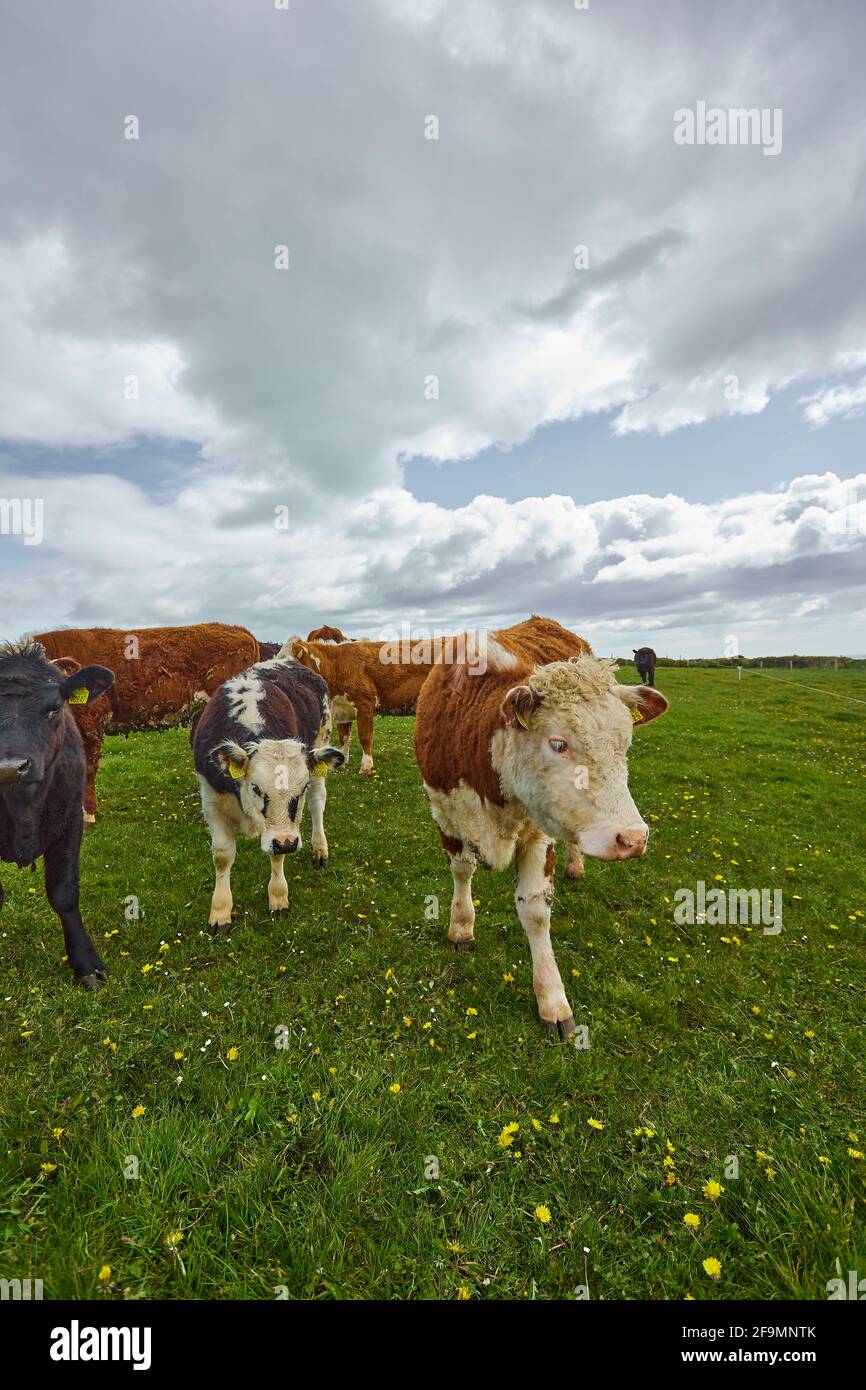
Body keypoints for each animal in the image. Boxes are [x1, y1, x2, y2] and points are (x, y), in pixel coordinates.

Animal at [192, 655, 344, 935]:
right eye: (255, 787)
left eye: (301, 789)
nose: (287, 842)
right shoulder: (211, 800)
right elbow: (222, 855)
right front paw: (220, 911)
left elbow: (277, 854)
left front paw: (278, 897)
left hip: (321, 745)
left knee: (318, 803)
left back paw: (320, 848)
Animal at [414, 631, 668, 1039]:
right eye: (558, 743)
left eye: (625, 743)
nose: (632, 838)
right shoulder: (444, 811)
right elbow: (462, 870)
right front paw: (461, 928)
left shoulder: (537, 833)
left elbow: (534, 910)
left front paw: (552, 999)